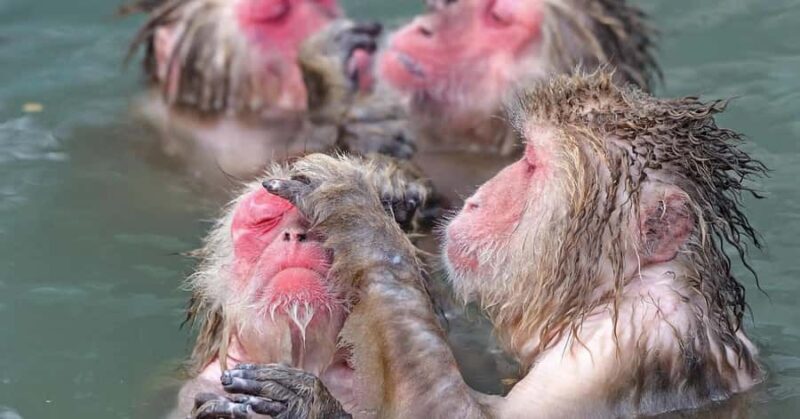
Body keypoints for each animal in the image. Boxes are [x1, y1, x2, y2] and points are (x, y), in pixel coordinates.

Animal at [211, 71, 766, 418]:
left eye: (532, 165)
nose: (476, 200)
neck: (612, 293)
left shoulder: (622, 346)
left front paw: (355, 210)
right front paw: (392, 185)